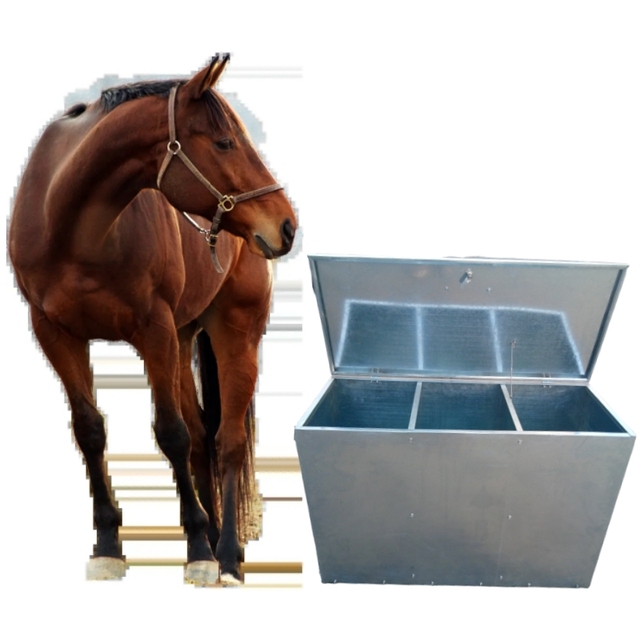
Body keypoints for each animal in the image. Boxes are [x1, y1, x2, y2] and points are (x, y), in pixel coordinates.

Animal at [8, 54, 297, 586]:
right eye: (224, 142)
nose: (286, 224)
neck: (74, 228)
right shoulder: (56, 334)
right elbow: (91, 431)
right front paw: (108, 545)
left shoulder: (153, 332)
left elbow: (171, 434)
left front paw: (199, 549)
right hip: (182, 341)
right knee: (204, 437)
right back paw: (213, 540)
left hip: (234, 334)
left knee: (227, 440)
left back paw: (226, 555)